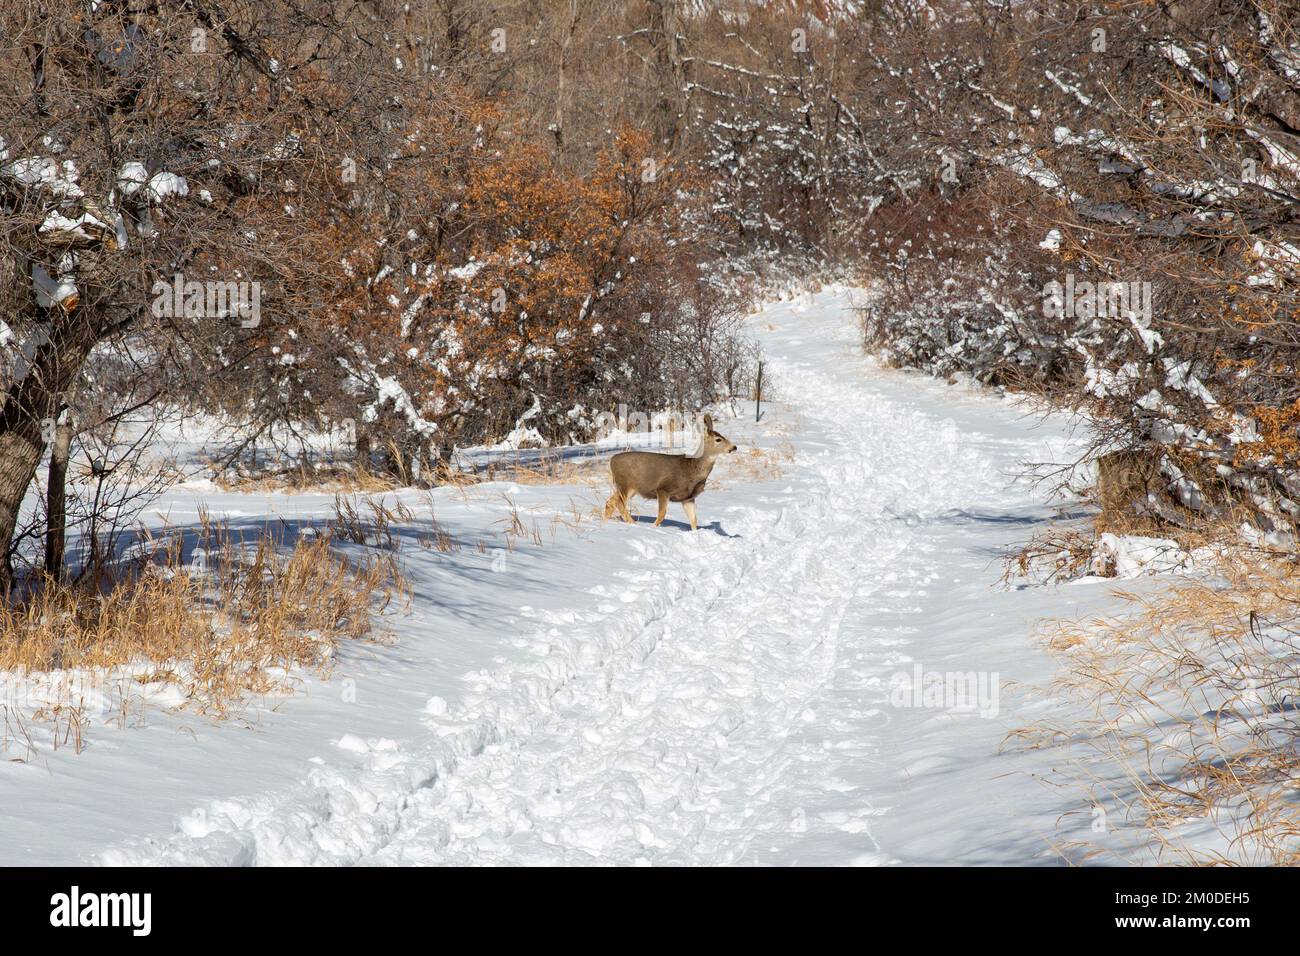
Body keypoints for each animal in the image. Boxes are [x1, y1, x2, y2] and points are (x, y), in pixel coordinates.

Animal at [603, 414, 737, 531]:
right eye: (718, 439)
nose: (734, 447)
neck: (692, 469)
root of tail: (612, 460)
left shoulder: (688, 498)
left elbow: (693, 519)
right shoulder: (663, 488)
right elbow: (662, 513)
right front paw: (654, 527)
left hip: (626, 487)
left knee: (610, 502)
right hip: (626, 484)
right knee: (620, 504)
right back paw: (633, 524)